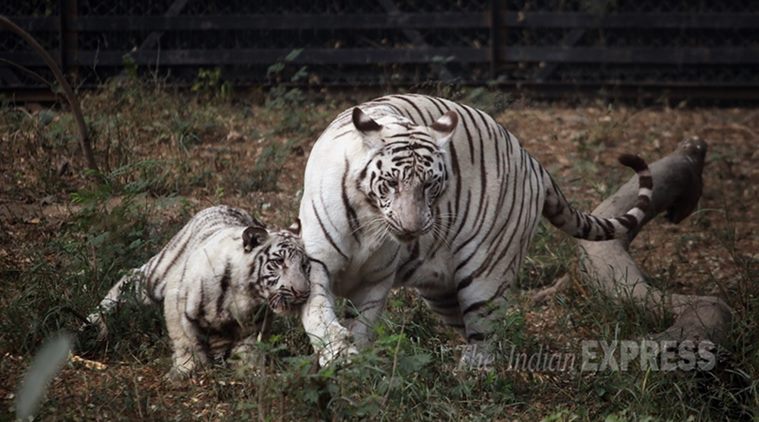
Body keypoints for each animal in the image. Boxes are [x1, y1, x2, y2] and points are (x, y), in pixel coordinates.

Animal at [83, 205, 311, 380]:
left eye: (304, 265)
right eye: (279, 261)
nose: (302, 292)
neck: (247, 293)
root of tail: (223, 206)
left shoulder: (256, 323)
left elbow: (250, 350)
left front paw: (251, 373)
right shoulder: (176, 299)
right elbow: (185, 342)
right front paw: (186, 371)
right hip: (155, 277)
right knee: (129, 278)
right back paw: (93, 323)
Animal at [297, 94, 652, 368]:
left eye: (430, 185)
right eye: (392, 183)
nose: (414, 227)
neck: (368, 222)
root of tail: (531, 159)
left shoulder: (375, 282)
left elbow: (362, 325)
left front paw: (351, 360)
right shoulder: (316, 266)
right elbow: (318, 315)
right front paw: (340, 354)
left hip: (486, 274)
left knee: (485, 338)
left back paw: (471, 376)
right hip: (441, 292)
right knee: (471, 330)